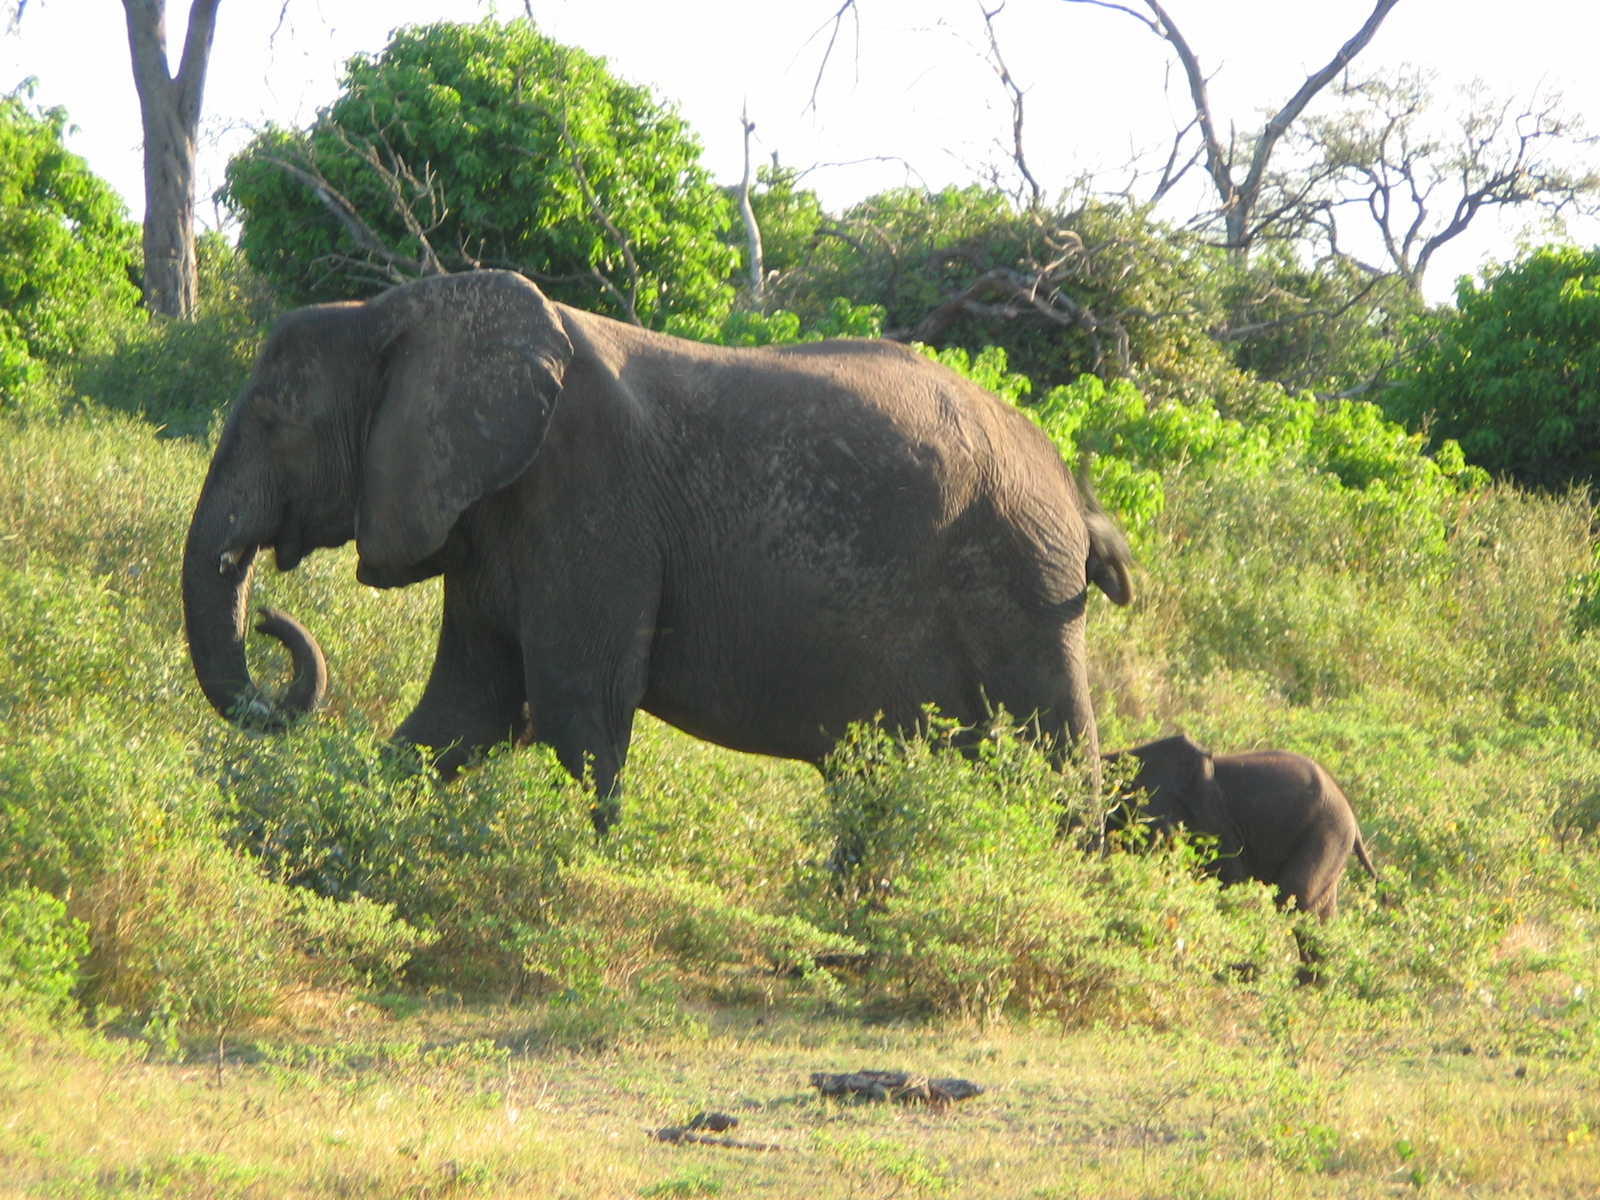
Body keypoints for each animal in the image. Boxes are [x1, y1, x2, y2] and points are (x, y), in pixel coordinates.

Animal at [183, 270, 1134, 832]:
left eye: (271, 421)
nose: (270, 617)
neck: (400, 309)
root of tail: (1071, 485)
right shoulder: (493, 514)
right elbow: (462, 708)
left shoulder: (589, 497)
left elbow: (574, 705)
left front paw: (579, 873)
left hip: (1019, 575)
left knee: (1051, 750)